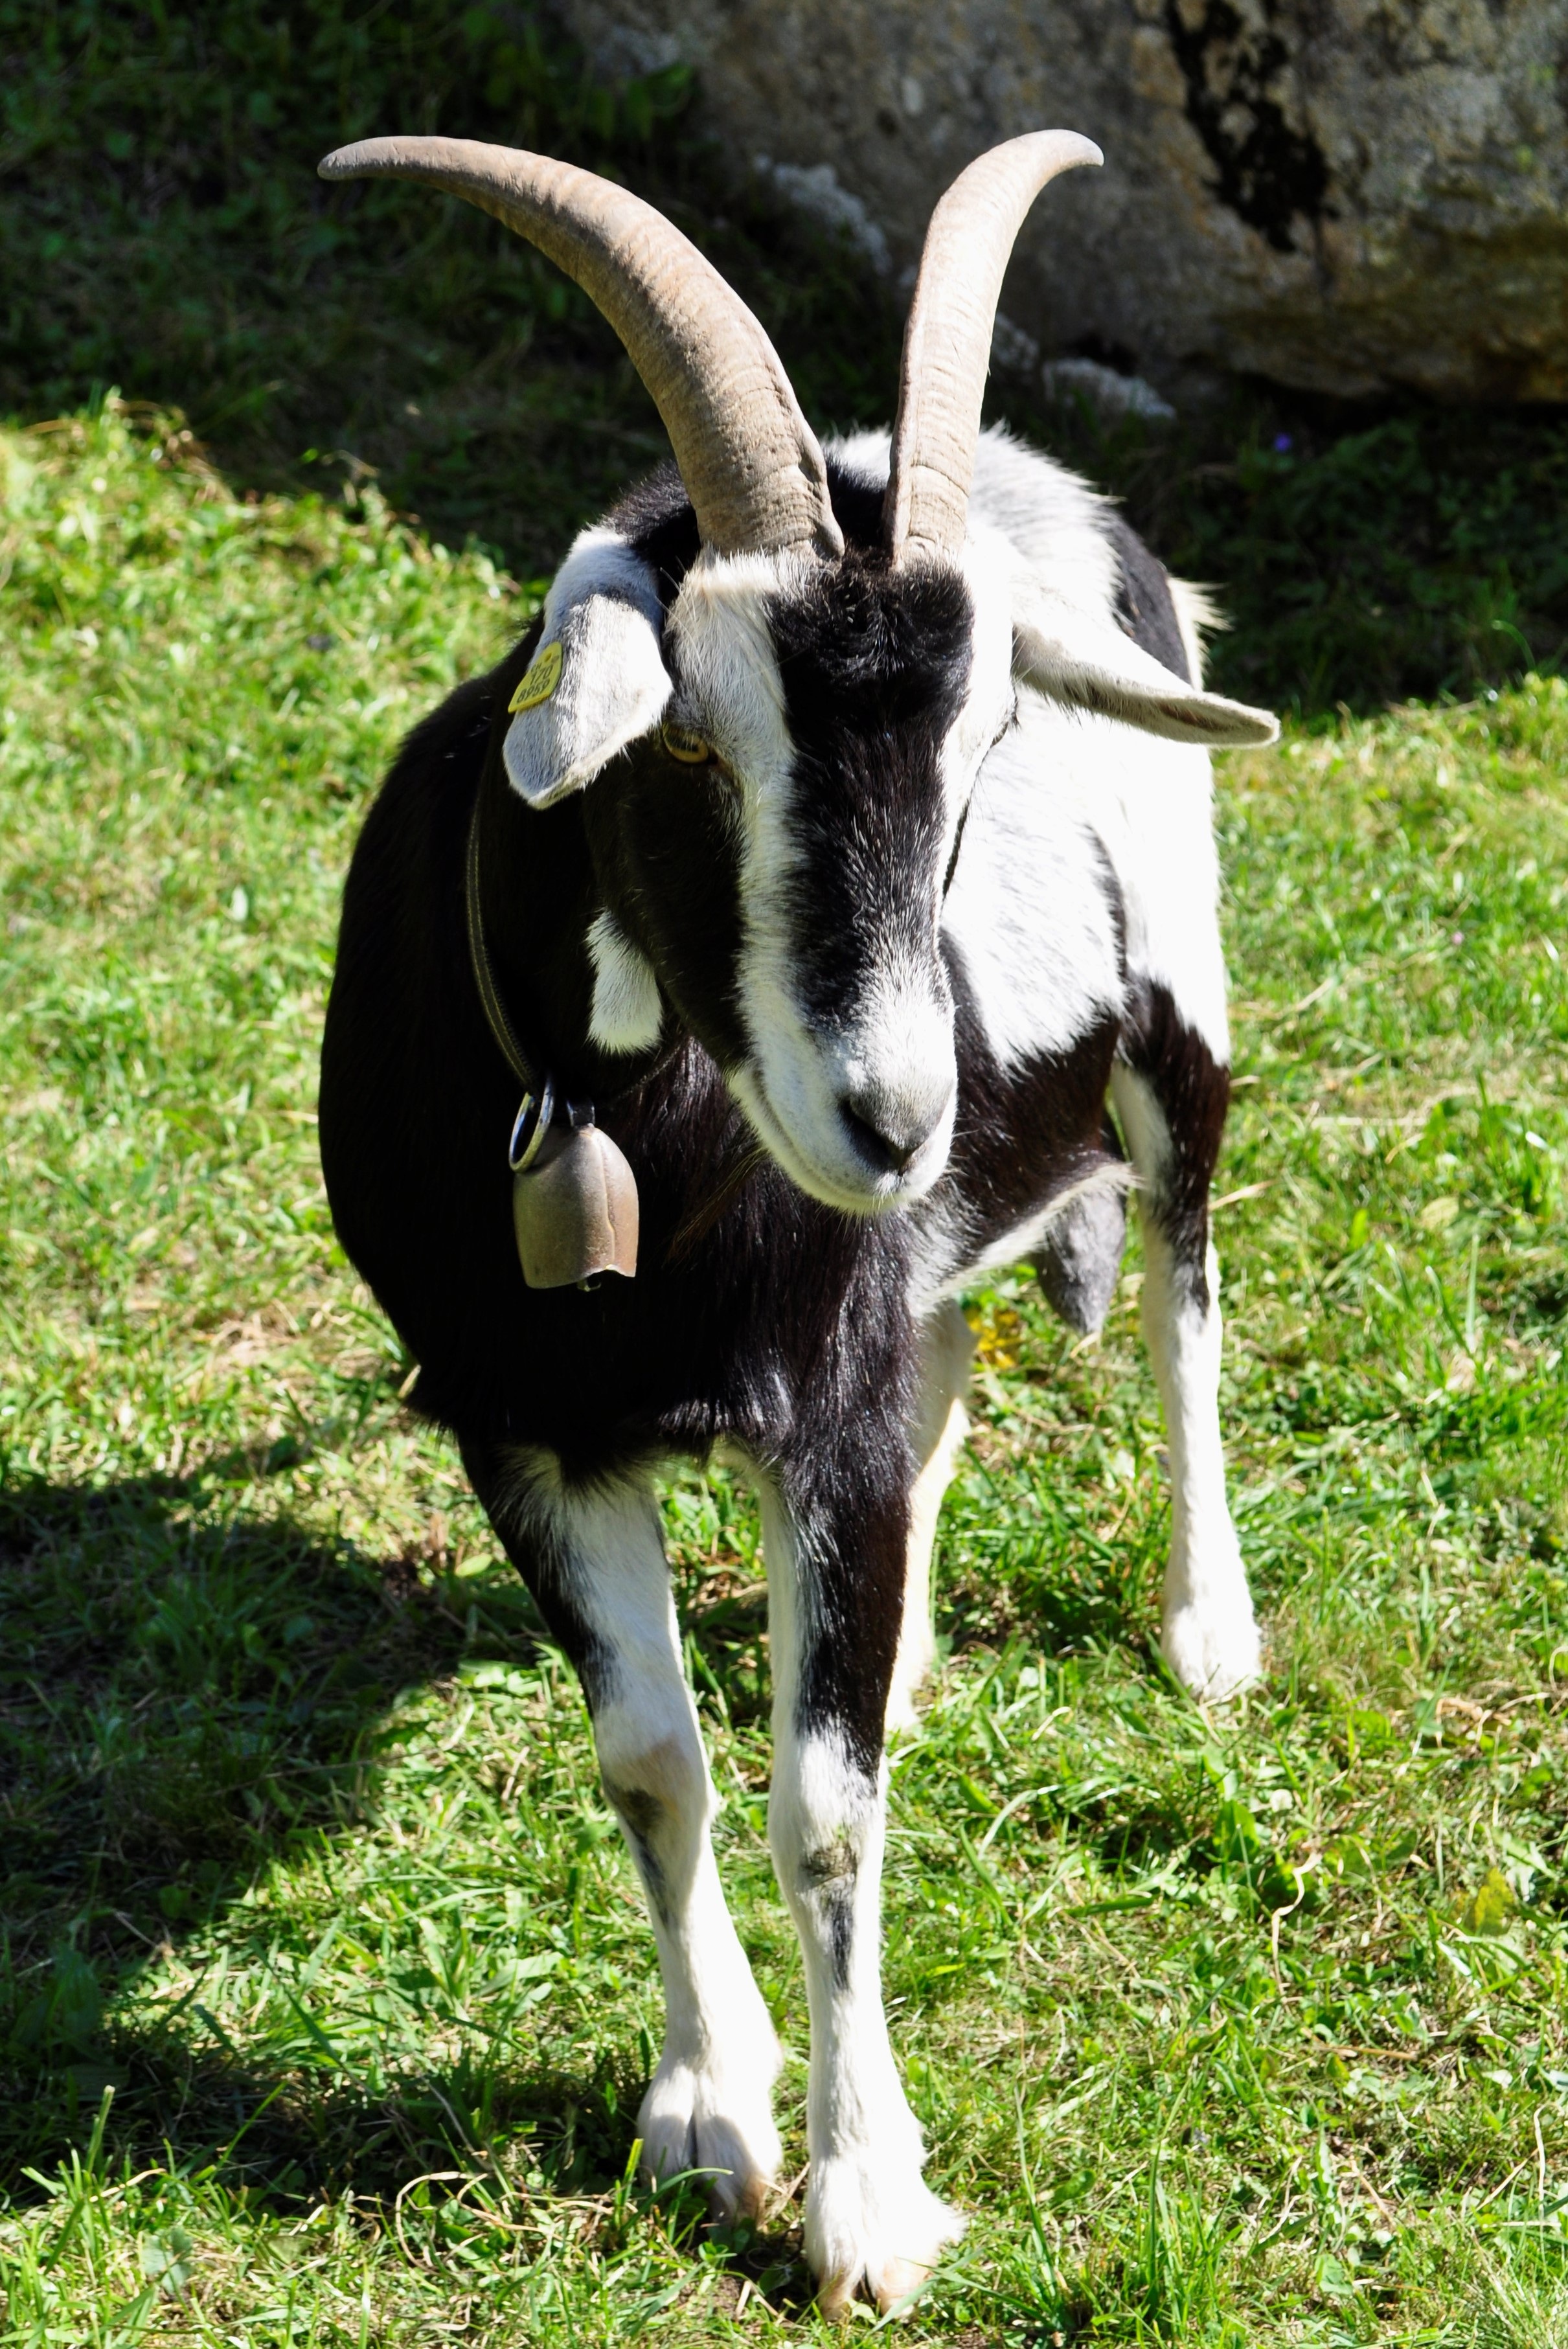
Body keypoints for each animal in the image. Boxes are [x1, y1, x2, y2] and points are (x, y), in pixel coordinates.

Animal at [315, 130, 1279, 2317]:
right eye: (687, 735)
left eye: (980, 738)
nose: (895, 1113)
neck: (640, 1152)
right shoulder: (523, 1425)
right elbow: (654, 1763)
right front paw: (707, 2105)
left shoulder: (813, 1419)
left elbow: (823, 1811)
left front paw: (864, 2206)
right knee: (947, 1366)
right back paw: (911, 1645)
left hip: (1175, 1020)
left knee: (1179, 1288)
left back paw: (1205, 1625)